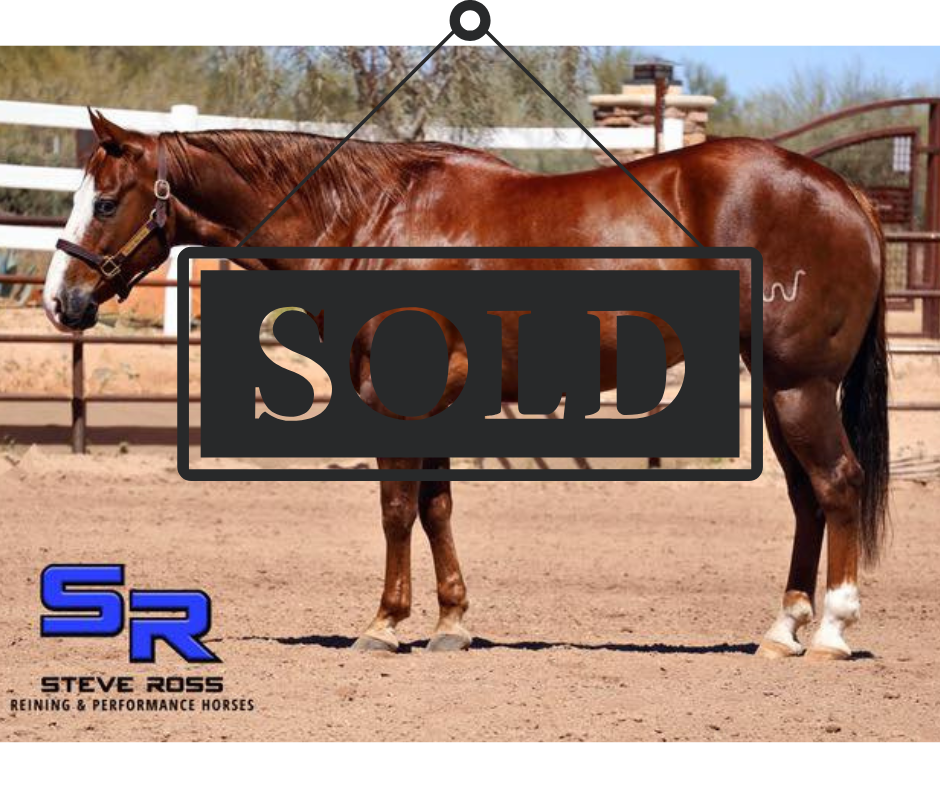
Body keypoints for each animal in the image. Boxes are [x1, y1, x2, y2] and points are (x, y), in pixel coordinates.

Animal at [44, 109, 888, 660]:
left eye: (107, 201)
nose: (61, 301)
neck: (374, 222)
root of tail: (846, 192)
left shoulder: (395, 398)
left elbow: (394, 510)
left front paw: (384, 625)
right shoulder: (434, 403)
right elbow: (436, 507)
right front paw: (451, 624)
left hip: (802, 386)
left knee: (838, 484)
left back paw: (832, 631)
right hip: (778, 388)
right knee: (805, 498)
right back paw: (782, 631)